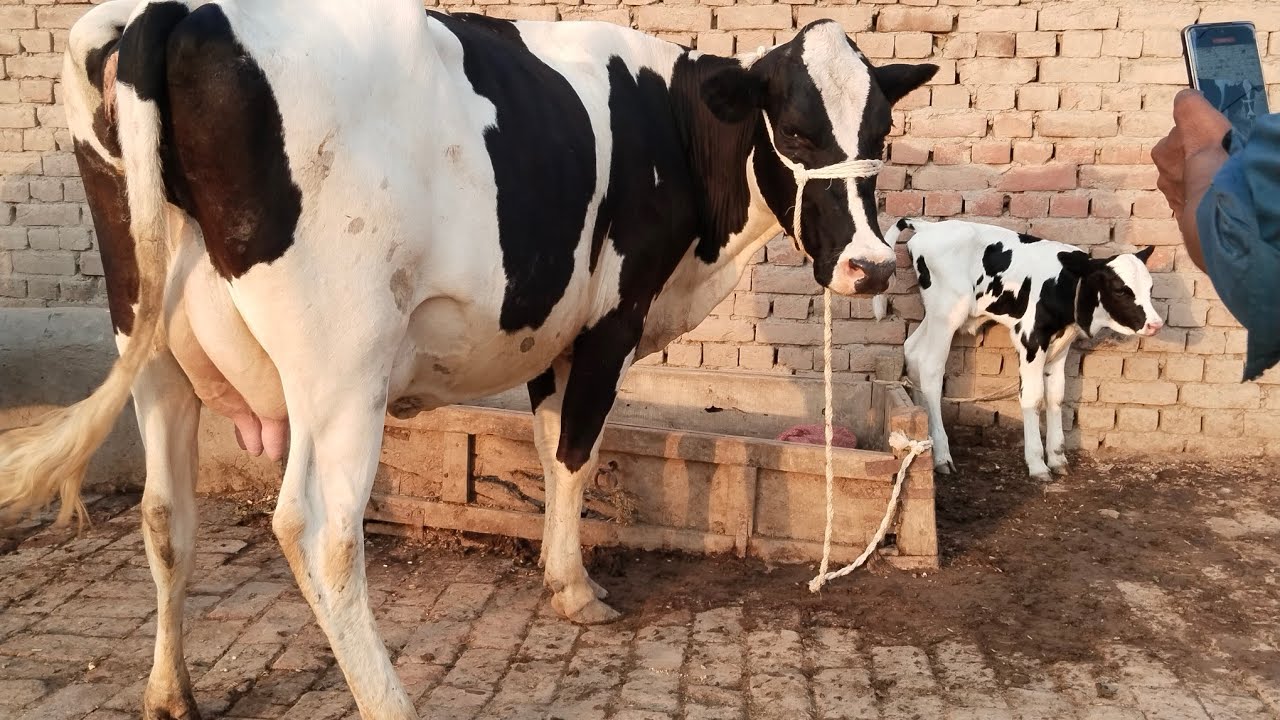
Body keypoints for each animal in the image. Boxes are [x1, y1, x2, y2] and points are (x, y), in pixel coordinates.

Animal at [0, 1, 937, 717]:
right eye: (799, 129)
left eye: (882, 128)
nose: (871, 266)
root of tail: (177, 13)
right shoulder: (613, 315)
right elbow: (578, 451)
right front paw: (577, 590)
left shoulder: (550, 324)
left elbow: (551, 445)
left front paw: (558, 573)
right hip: (342, 364)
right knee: (319, 528)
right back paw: (388, 699)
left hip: (150, 343)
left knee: (165, 512)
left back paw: (170, 692)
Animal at [877, 218, 1162, 480]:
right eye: (1120, 289)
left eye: (1150, 288)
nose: (1155, 324)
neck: (1061, 284)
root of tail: (927, 225)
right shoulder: (1030, 340)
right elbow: (1033, 397)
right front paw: (1037, 465)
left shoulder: (1060, 347)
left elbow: (1056, 396)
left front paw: (1058, 459)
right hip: (947, 314)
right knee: (930, 368)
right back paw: (942, 456)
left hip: (937, 315)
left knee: (912, 351)